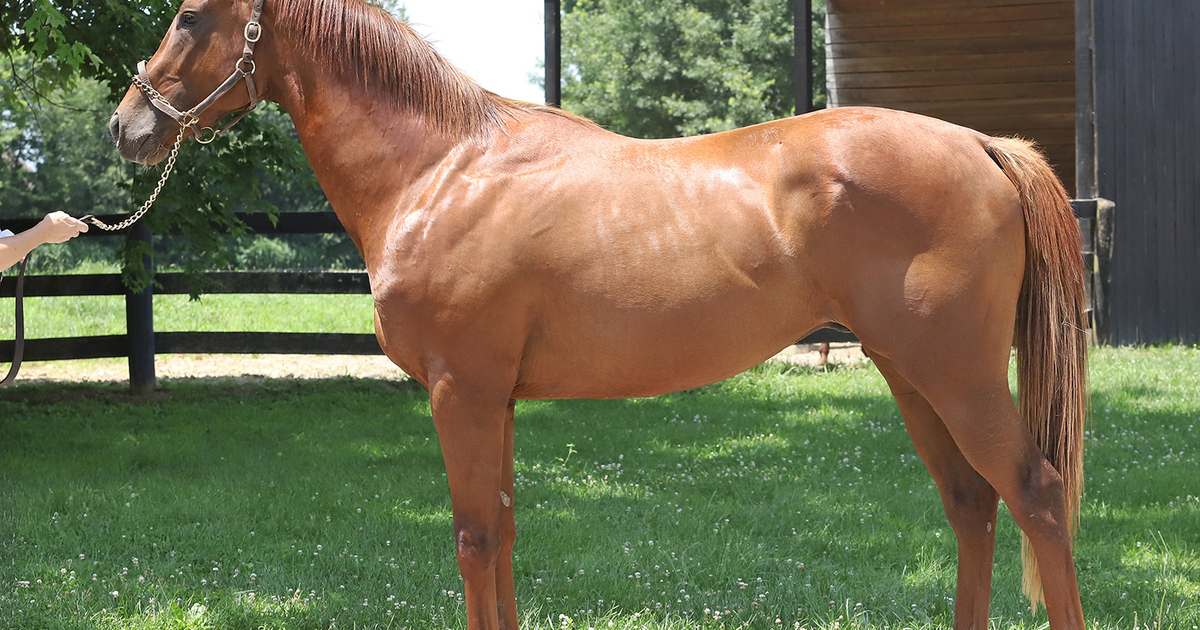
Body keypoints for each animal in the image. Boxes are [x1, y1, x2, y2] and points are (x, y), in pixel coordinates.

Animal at [108, 1, 1089, 628]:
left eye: (190, 14)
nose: (125, 126)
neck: (442, 168)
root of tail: (981, 144)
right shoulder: (494, 400)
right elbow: (503, 532)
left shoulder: (461, 393)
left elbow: (473, 538)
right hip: (910, 373)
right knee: (972, 503)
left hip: (956, 377)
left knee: (1035, 495)